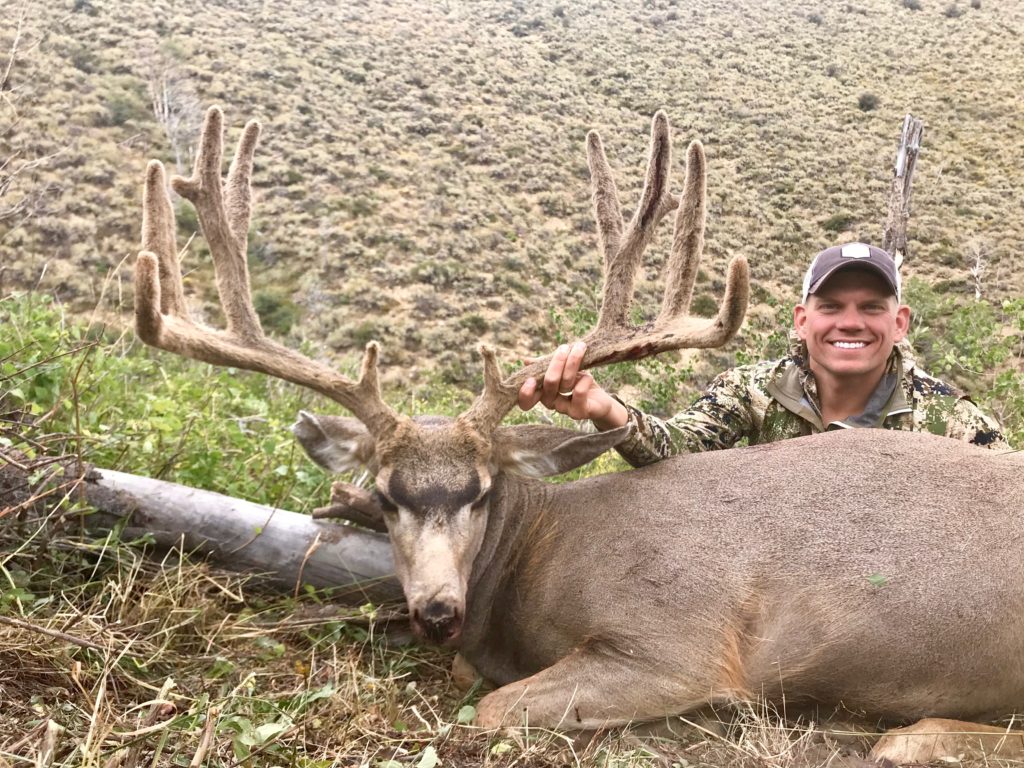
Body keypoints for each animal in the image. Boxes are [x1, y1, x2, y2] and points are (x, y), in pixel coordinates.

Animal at [134, 106, 1024, 756]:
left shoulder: (680, 643)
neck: (542, 555)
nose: (437, 610)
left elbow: (492, 709)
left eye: (480, 490)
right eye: (386, 496)